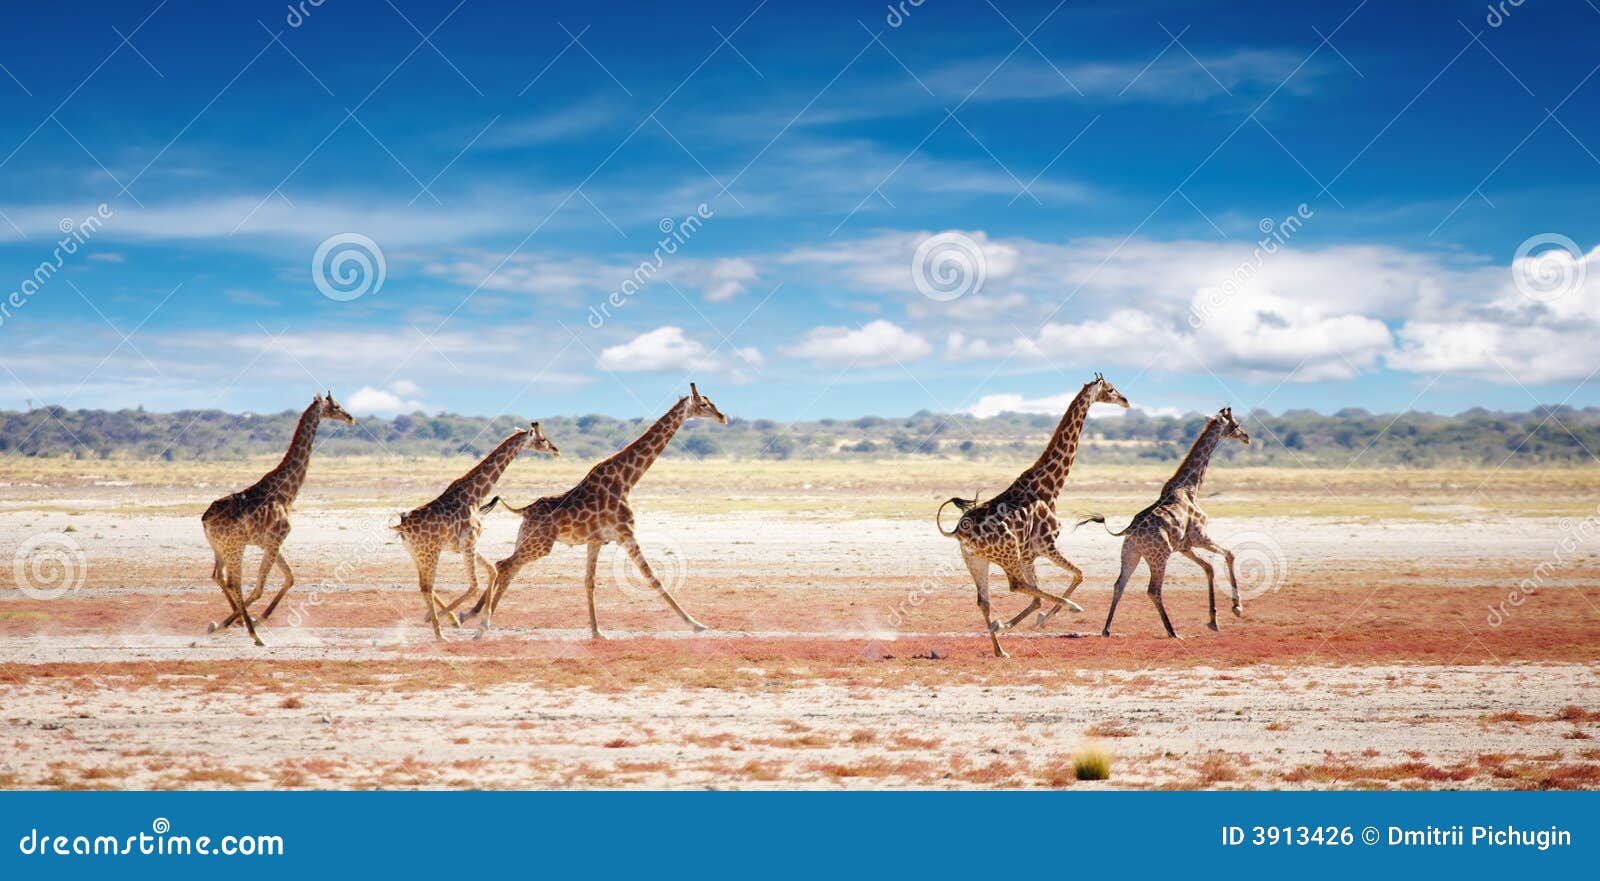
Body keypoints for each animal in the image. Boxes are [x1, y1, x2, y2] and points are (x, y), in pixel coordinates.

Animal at [200, 392, 355, 646]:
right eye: (336, 406)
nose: (351, 418)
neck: (285, 494)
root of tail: (205, 519)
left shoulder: (271, 543)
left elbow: (290, 578)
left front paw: (254, 619)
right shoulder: (275, 540)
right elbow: (260, 587)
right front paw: (249, 624)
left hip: (219, 548)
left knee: (218, 576)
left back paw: (235, 622)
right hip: (235, 547)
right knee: (234, 582)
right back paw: (253, 635)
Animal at [393, 423, 560, 640]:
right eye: (542, 439)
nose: (555, 450)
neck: (476, 495)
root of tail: (402, 526)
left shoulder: (468, 545)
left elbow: (492, 570)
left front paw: (482, 624)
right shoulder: (469, 543)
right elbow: (475, 585)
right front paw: (458, 619)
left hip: (417, 554)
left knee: (423, 585)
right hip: (430, 552)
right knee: (428, 587)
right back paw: (440, 633)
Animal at [465, 383, 728, 637]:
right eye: (704, 404)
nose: (723, 417)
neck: (626, 480)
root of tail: (524, 510)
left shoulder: (596, 540)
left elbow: (589, 582)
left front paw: (597, 631)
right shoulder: (626, 533)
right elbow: (653, 578)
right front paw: (695, 624)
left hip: (527, 540)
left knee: (508, 568)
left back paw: (474, 616)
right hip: (540, 545)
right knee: (504, 565)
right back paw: (478, 620)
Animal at [935, 374, 1130, 657]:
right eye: (1111, 389)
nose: (1126, 400)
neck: (1049, 488)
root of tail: (959, 531)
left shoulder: (1030, 554)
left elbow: (1042, 594)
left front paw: (1020, 622)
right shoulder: (1046, 545)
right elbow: (1077, 575)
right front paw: (1044, 618)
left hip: (977, 561)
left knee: (984, 601)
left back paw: (1000, 650)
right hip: (1008, 554)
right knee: (1016, 586)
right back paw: (1067, 608)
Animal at [1081, 406, 1251, 639]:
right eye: (1235, 424)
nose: (1246, 437)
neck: (1190, 487)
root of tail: (1129, 530)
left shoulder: (1185, 546)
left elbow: (1208, 568)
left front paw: (1214, 620)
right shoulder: (1200, 536)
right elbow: (1230, 554)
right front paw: (1237, 608)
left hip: (1131, 553)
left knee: (1119, 584)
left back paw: (1107, 629)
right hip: (1159, 556)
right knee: (1153, 590)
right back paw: (1172, 631)